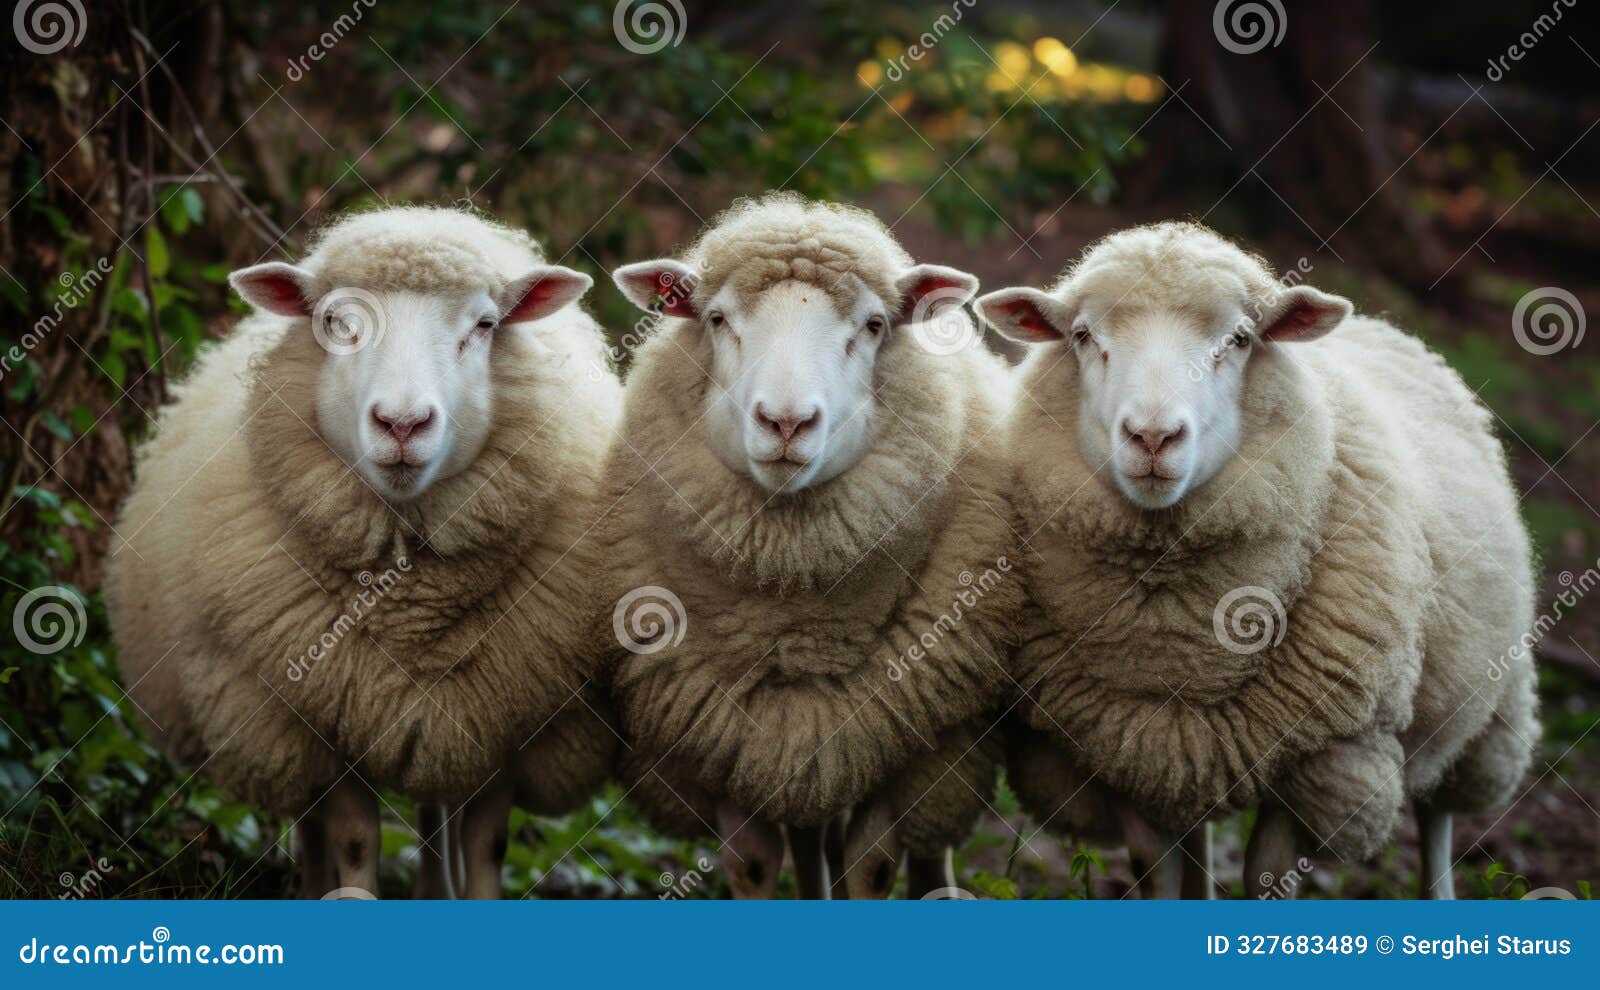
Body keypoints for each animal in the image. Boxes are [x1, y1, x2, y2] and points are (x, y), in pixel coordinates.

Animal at [104, 205, 623, 899]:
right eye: (334, 323)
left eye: (485, 326)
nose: (402, 424)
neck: (406, 604)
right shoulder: (331, 719)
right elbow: (352, 840)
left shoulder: (502, 721)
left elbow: (487, 845)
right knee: (311, 819)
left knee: (434, 811)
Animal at [599, 193, 1022, 898]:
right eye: (717, 319)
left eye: (874, 325)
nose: (787, 422)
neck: (793, 607)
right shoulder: (733, 745)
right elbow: (754, 867)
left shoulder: (892, 739)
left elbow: (872, 869)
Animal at [975, 221, 1538, 899]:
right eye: (1083, 337)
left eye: (1240, 340)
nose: (1153, 437)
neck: (1176, 643)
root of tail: (1382, 324)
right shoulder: (1126, 754)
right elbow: (1157, 875)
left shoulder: (1324, 767)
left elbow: (1268, 876)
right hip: (1187, 753)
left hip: (1487, 713)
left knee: (1439, 817)